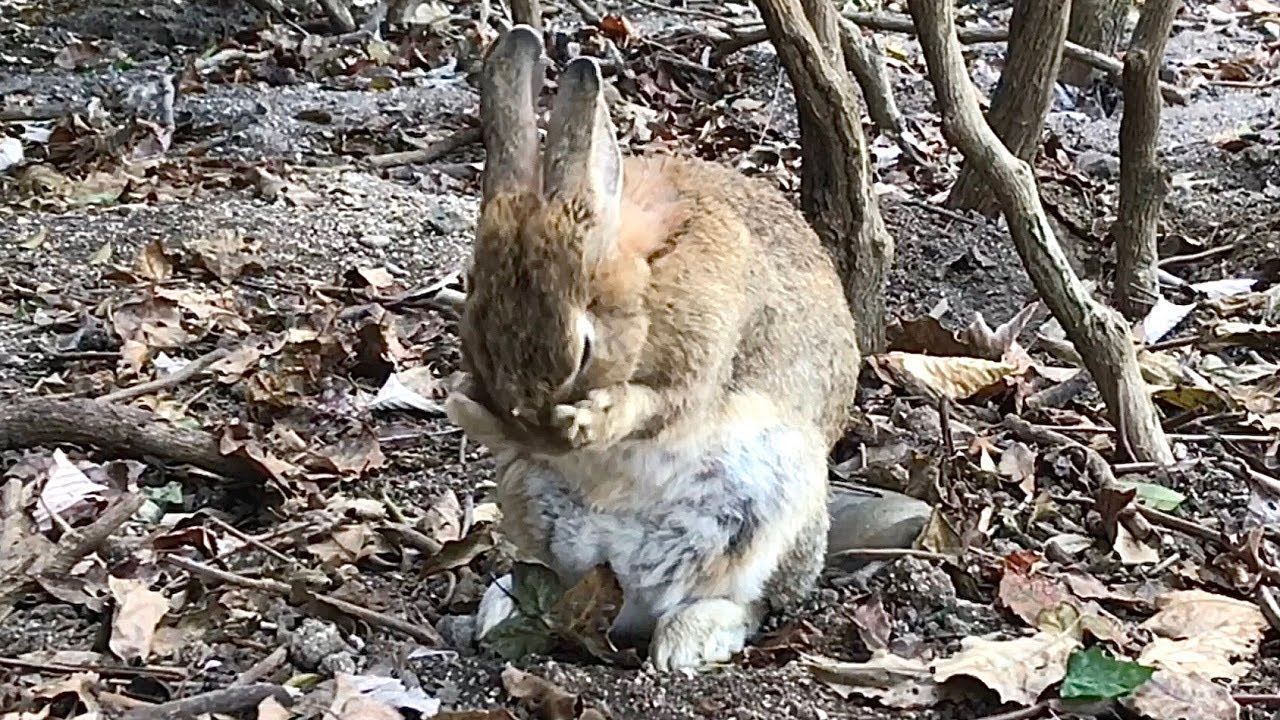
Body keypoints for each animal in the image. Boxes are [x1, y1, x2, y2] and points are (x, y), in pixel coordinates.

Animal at [444, 24, 862, 671]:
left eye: (582, 352)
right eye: (474, 331)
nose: (541, 439)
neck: (643, 278)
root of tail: (631, 600)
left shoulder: (704, 356)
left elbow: (663, 407)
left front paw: (592, 419)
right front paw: (464, 405)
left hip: (768, 506)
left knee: (745, 601)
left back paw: (684, 642)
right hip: (528, 502)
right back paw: (502, 613)